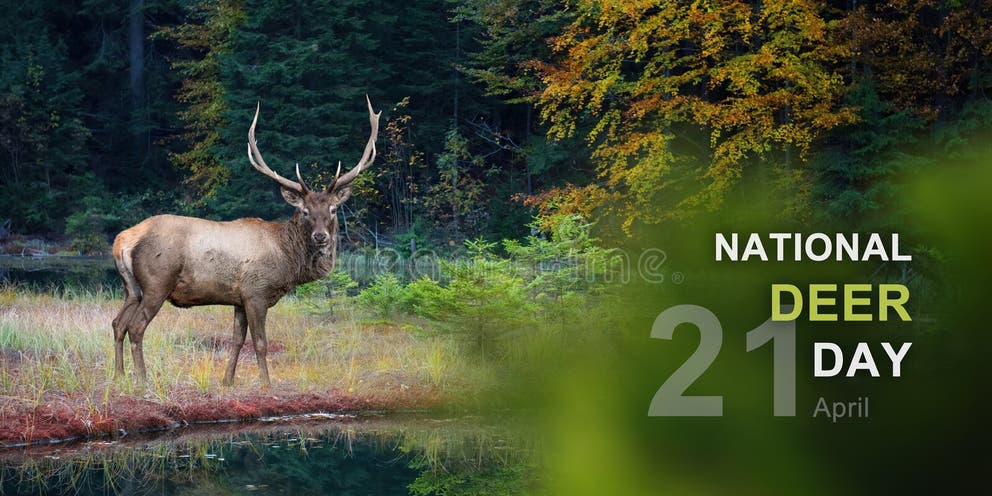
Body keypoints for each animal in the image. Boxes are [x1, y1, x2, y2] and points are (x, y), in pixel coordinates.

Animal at [111, 97, 380, 388]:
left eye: (332, 209)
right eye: (305, 211)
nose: (321, 236)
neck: (288, 261)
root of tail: (122, 241)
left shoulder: (238, 299)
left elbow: (237, 341)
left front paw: (227, 380)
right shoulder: (255, 293)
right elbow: (260, 343)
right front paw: (266, 383)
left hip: (132, 288)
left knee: (117, 323)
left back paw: (119, 375)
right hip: (156, 283)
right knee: (136, 327)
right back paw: (142, 379)